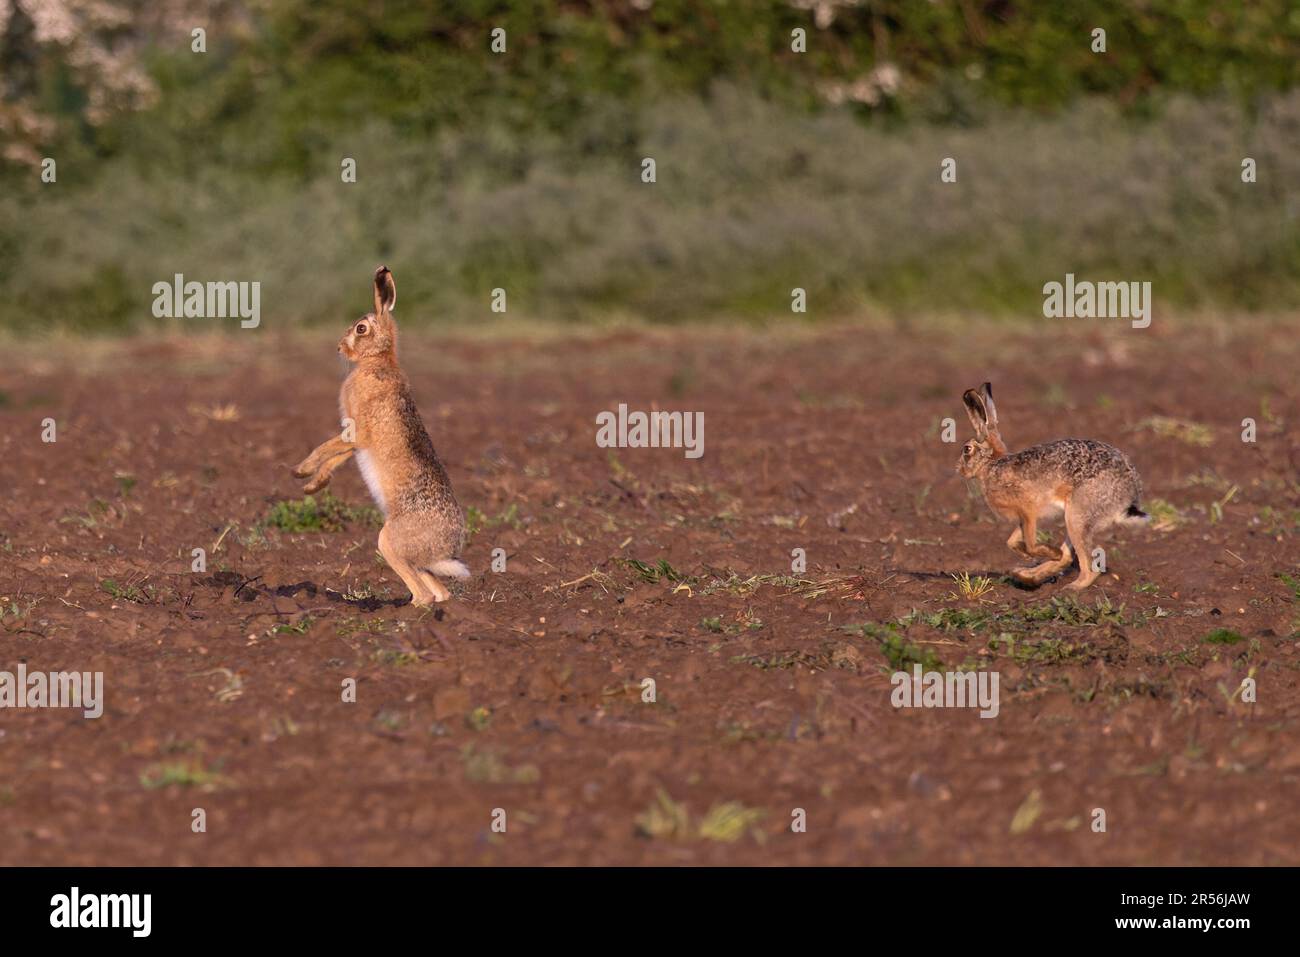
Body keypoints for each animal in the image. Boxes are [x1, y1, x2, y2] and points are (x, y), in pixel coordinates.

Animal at [292, 266, 468, 604]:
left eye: (361, 329)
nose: (339, 348)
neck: (377, 360)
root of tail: (445, 550)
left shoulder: (359, 432)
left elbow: (328, 447)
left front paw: (301, 470)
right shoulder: (355, 440)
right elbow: (336, 456)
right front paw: (313, 485)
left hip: (389, 541)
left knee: (424, 595)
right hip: (416, 559)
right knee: (440, 593)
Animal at [956, 382, 1148, 591]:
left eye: (967, 449)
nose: (959, 469)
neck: (992, 464)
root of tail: (1129, 495)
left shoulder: (1028, 511)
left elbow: (1030, 544)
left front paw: (1046, 552)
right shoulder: (1025, 518)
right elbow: (1011, 541)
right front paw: (1028, 555)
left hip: (1077, 515)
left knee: (1089, 567)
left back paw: (1070, 587)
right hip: (1074, 517)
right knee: (1068, 557)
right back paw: (1027, 574)